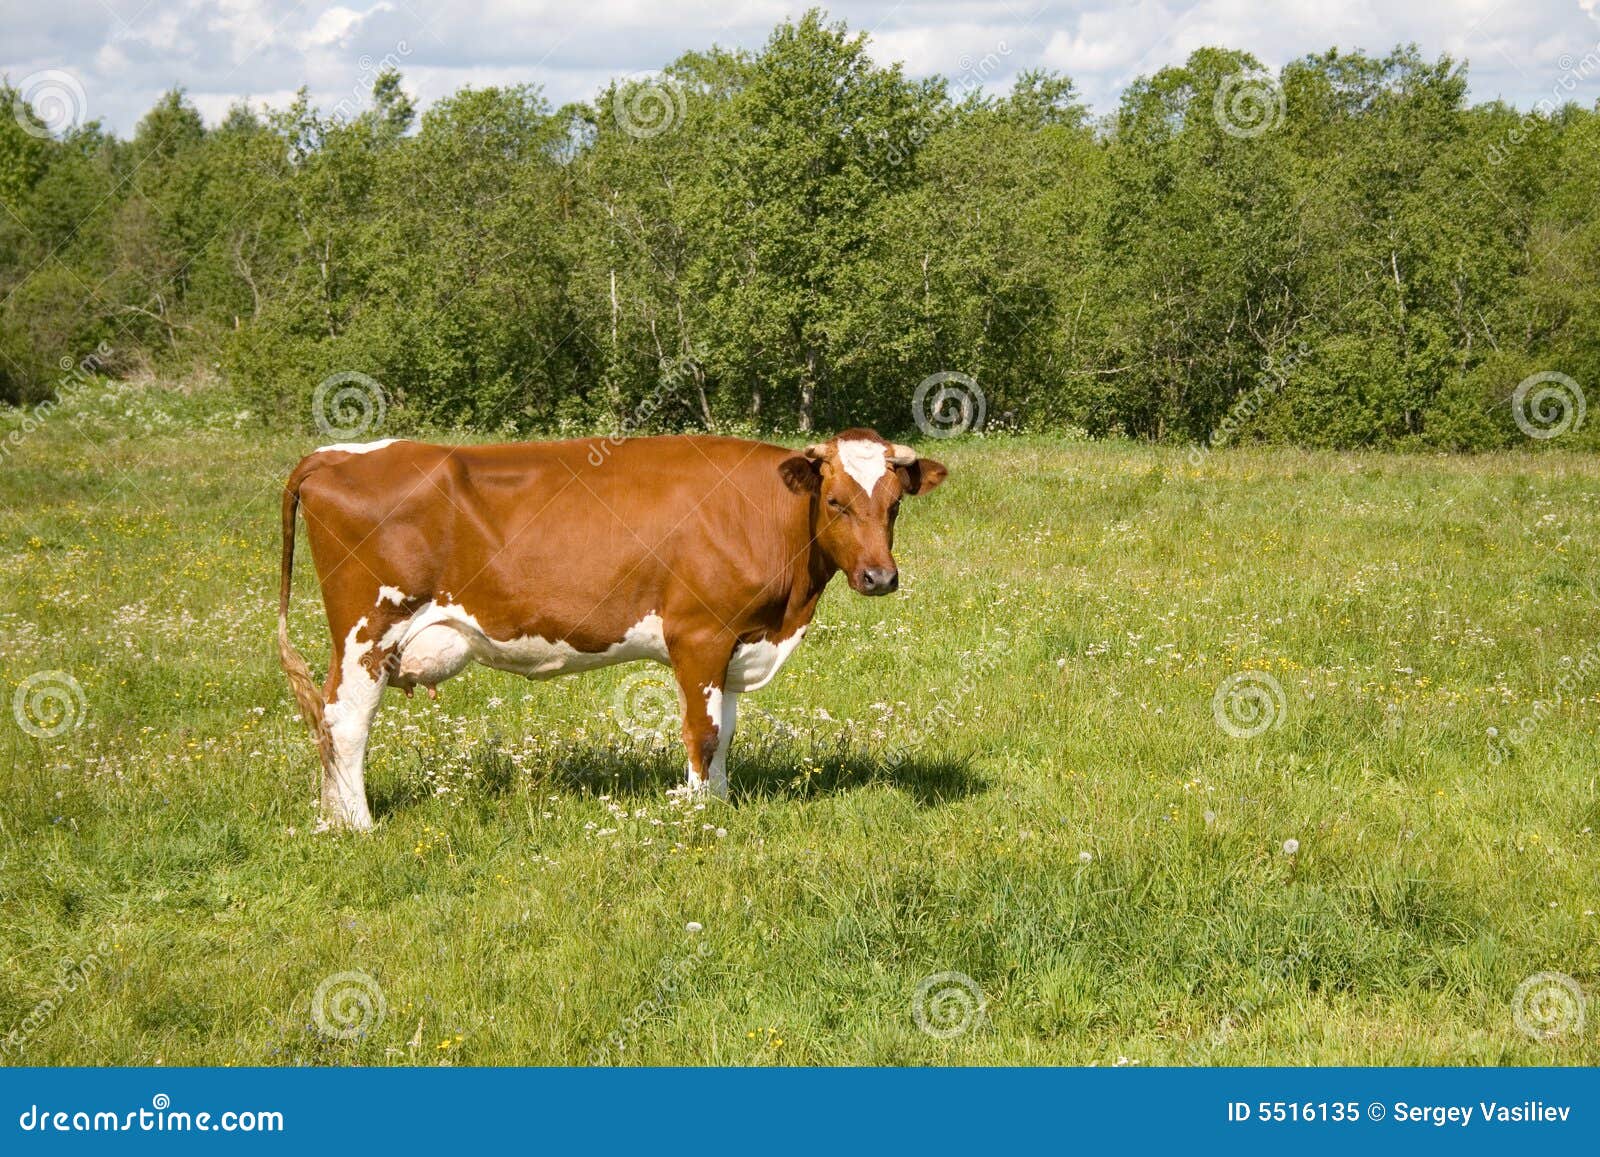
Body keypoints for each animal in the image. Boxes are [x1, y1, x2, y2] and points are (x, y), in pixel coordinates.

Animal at [277, 428, 947, 830]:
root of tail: (333, 454)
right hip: (368, 631)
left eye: (894, 503)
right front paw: (700, 819)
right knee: (345, 721)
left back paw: (333, 820)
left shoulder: (734, 643)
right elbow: (702, 736)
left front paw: (721, 805)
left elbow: (726, 734)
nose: (879, 577)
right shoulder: (698, 635)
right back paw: (358, 826)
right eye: (835, 501)